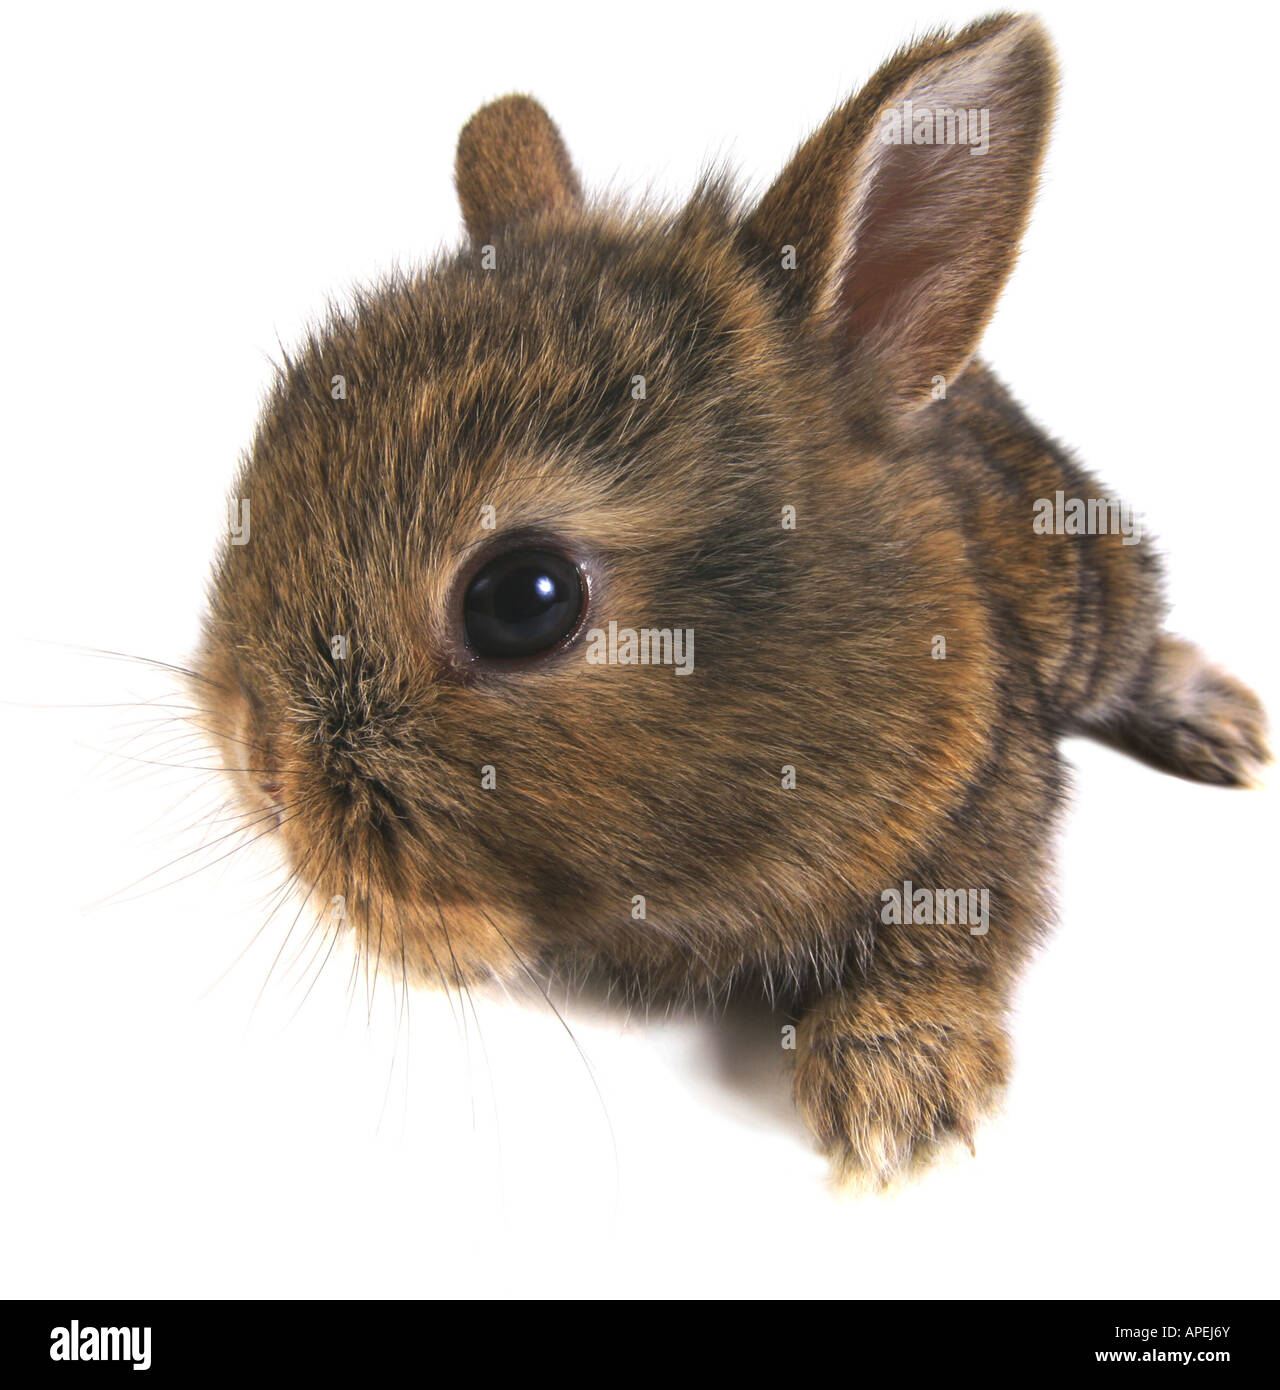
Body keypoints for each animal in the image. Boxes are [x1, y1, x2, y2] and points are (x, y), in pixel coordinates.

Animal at [195, 11, 1269, 1186]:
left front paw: (894, 1096)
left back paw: (1219, 724)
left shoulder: (988, 801)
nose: (260, 764)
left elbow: (949, 934)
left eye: (523, 600)